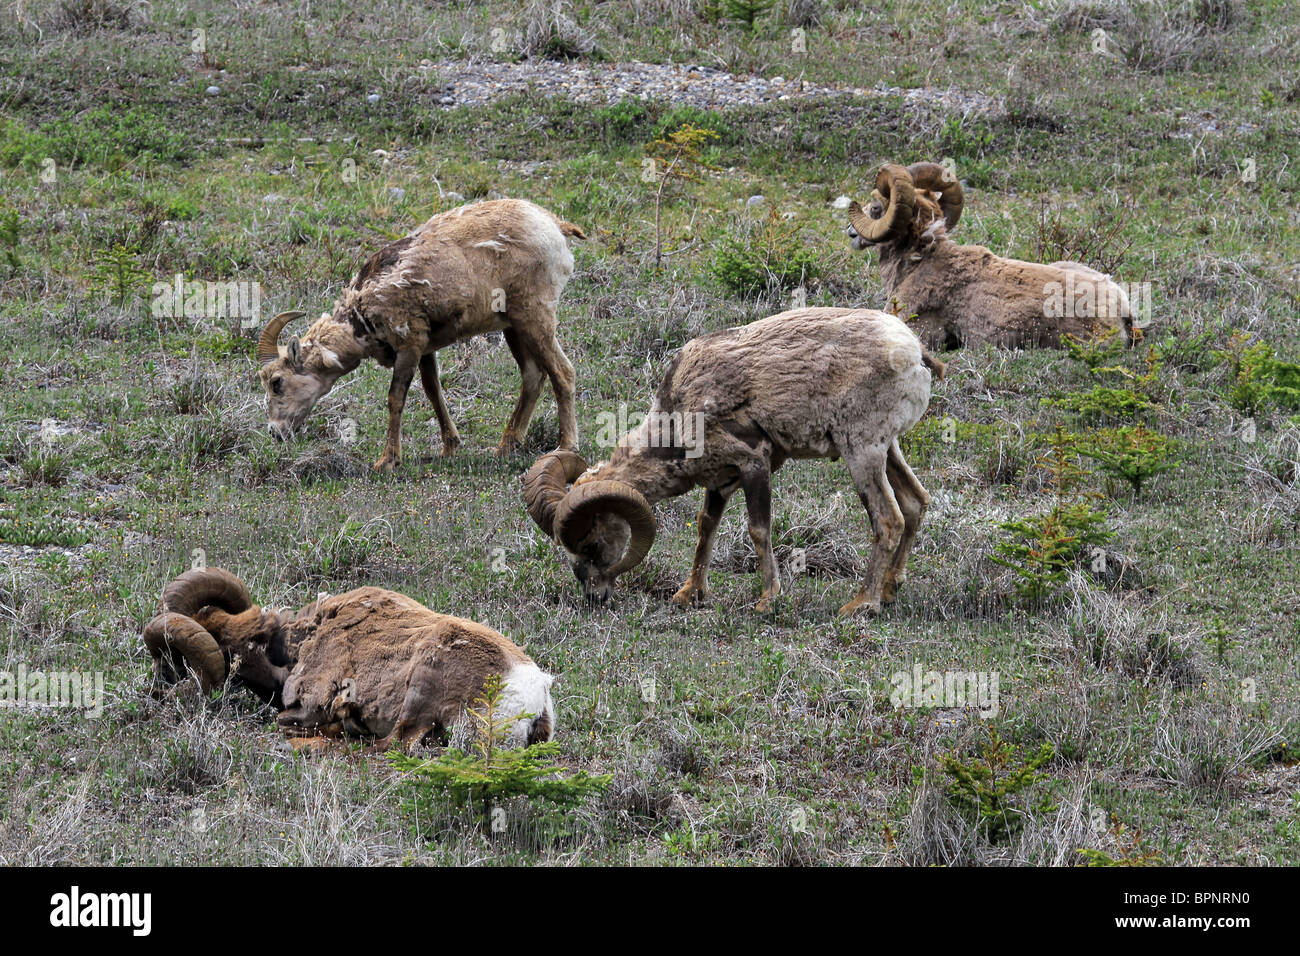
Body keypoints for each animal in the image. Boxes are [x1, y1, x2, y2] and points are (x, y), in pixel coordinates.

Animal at [257, 198, 585, 472]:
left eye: (277, 382)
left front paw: (388, 461)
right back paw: (505, 446)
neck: (362, 313)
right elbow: (432, 390)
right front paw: (449, 447)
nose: (275, 432)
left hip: (534, 315)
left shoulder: (409, 346)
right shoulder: (426, 348)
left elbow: (395, 398)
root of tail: (555, 225)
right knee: (533, 375)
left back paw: (566, 446)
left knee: (562, 372)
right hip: (513, 326)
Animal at [522, 307, 941, 617]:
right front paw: (689, 594)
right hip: (888, 450)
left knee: (888, 520)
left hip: (863, 453)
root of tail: (914, 353)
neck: (679, 420)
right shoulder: (720, 482)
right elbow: (706, 528)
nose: (595, 597)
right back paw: (890, 590)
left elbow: (758, 530)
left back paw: (861, 604)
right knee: (915, 503)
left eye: (592, 544)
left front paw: (768, 600)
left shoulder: (755, 466)